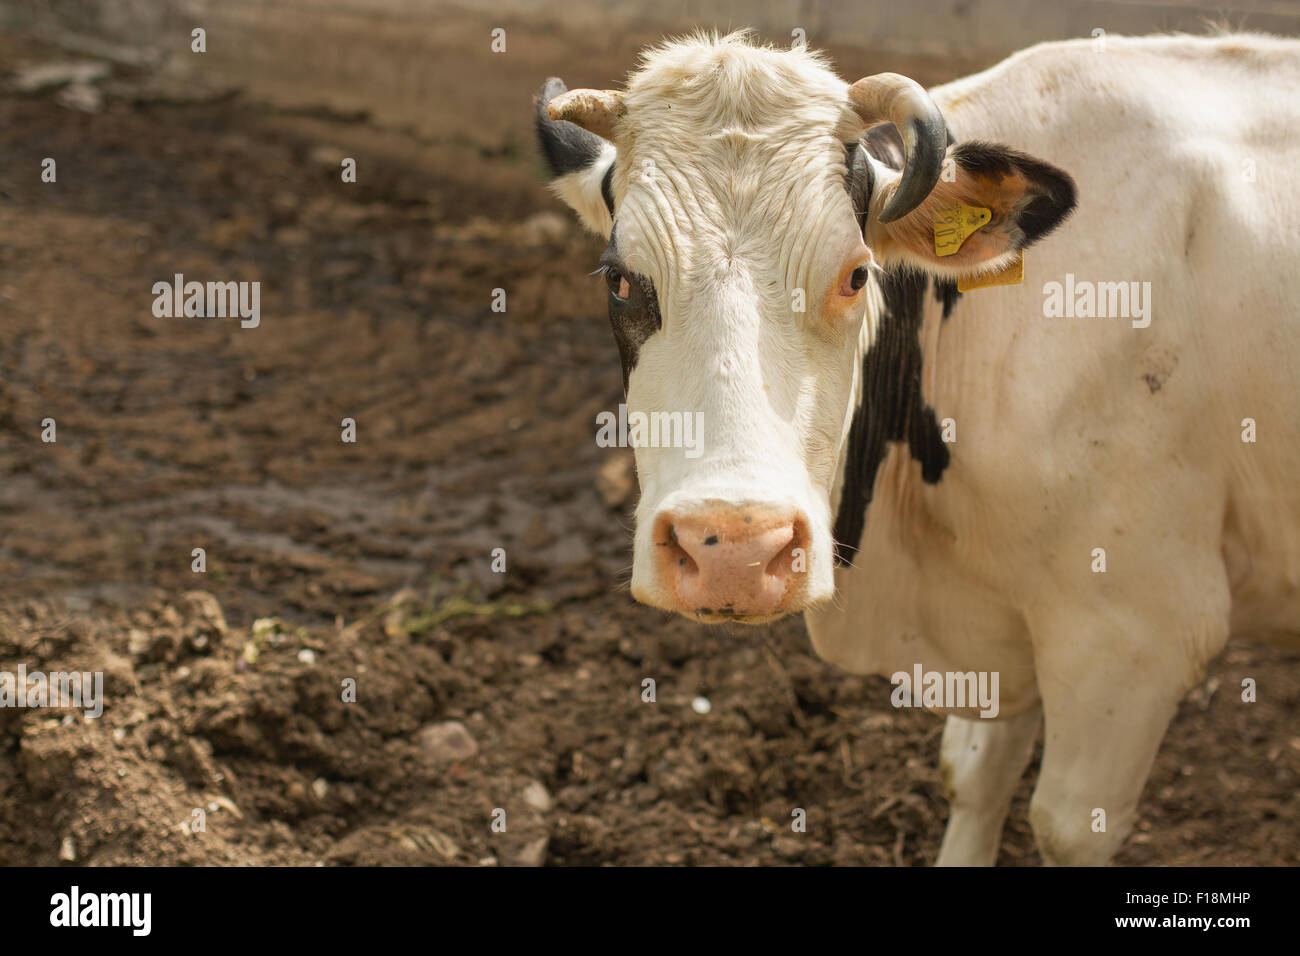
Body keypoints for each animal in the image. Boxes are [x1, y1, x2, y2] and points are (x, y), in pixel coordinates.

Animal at [530, 31, 1300, 868]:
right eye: (619, 281)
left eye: (856, 275)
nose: (734, 549)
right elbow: (973, 775)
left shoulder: (1136, 632)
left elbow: (1063, 827)